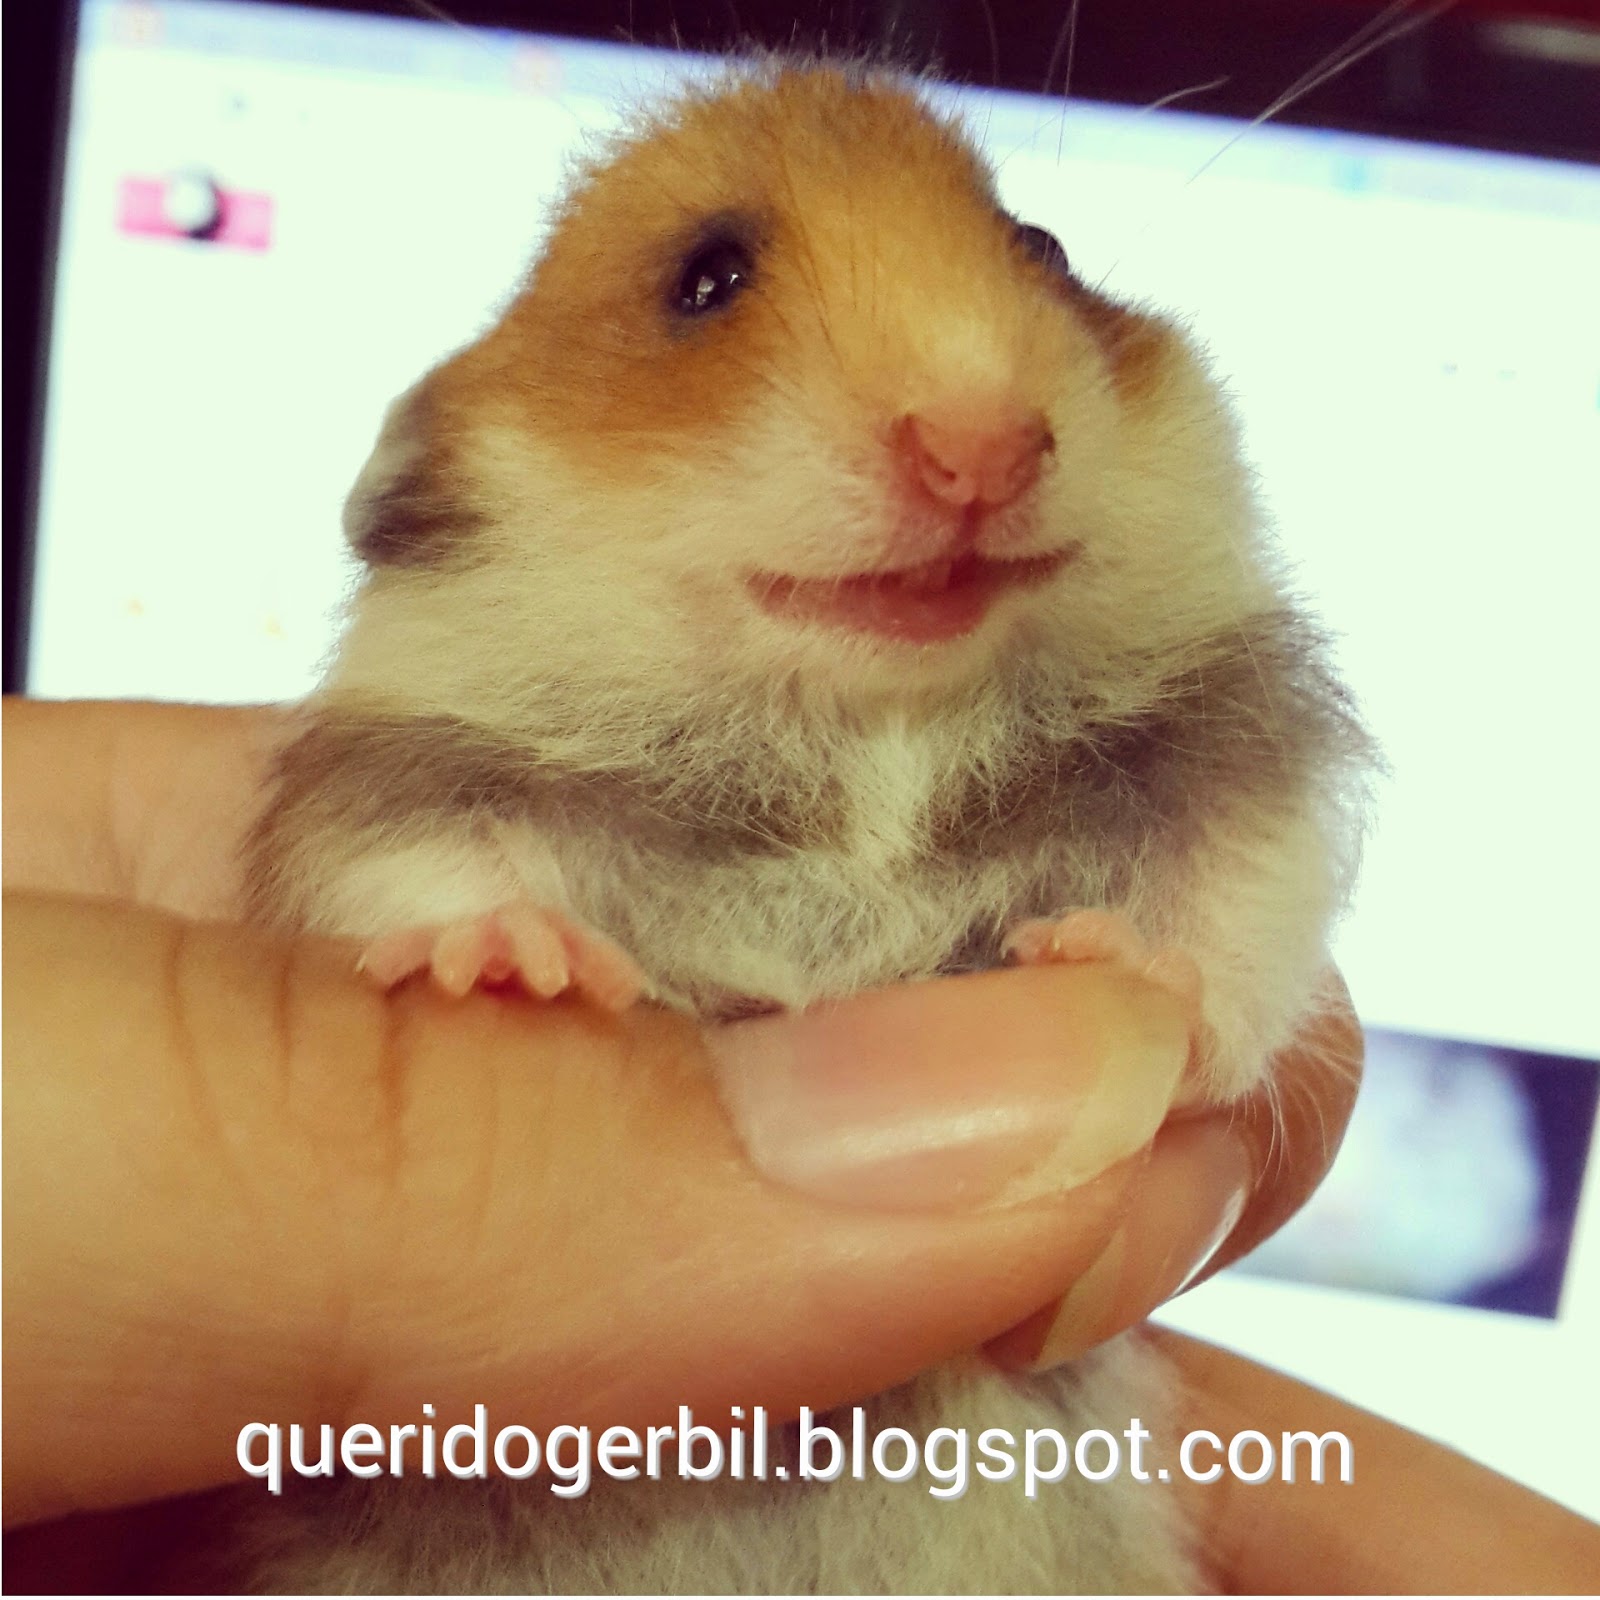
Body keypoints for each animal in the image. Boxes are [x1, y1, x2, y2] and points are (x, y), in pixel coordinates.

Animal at [237, 58, 1367, 1594]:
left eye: (1044, 249)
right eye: (704, 282)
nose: (980, 448)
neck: (869, 740)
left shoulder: (1236, 767)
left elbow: (1232, 935)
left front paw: (1114, 967)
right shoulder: (397, 781)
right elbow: (421, 877)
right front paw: (525, 970)